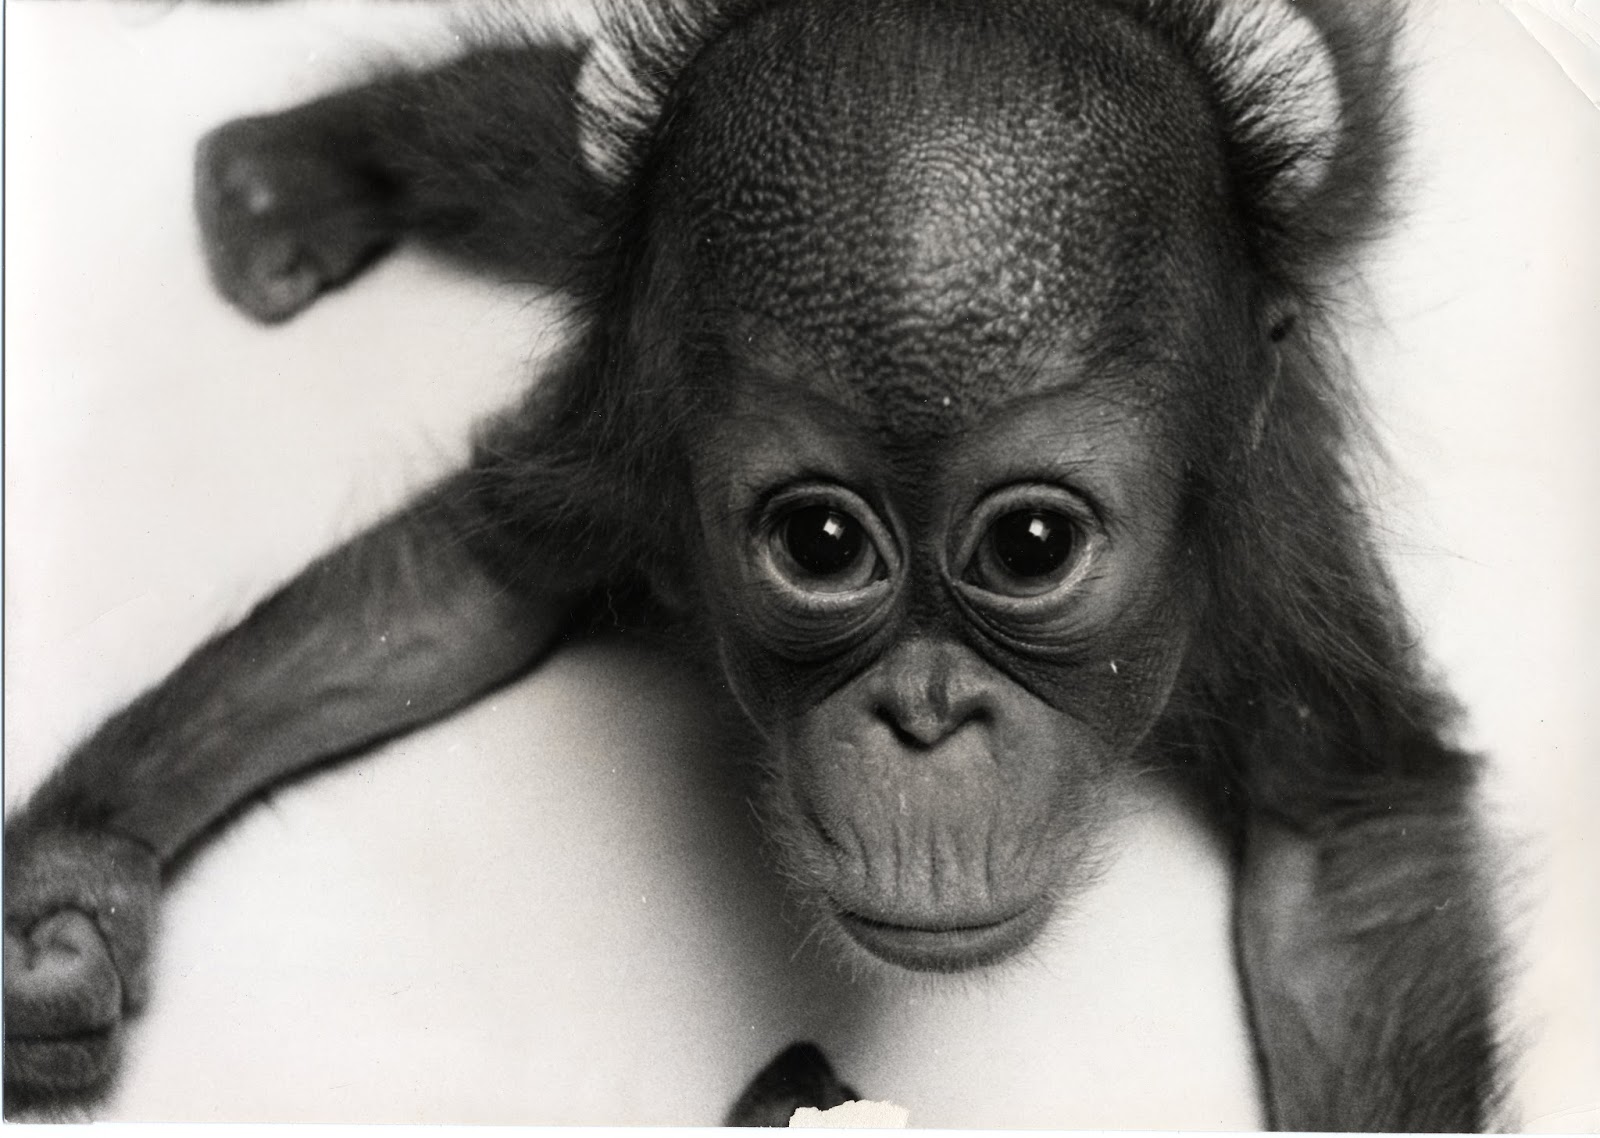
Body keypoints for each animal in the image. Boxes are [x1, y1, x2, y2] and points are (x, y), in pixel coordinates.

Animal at [5, 0, 1556, 1127]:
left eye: (1032, 547)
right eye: (820, 545)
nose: (926, 719)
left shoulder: (1264, 534)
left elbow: (1346, 847)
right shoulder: (639, 430)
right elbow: (463, 588)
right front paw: (75, 895)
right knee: (556, 147)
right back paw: (298, 171)